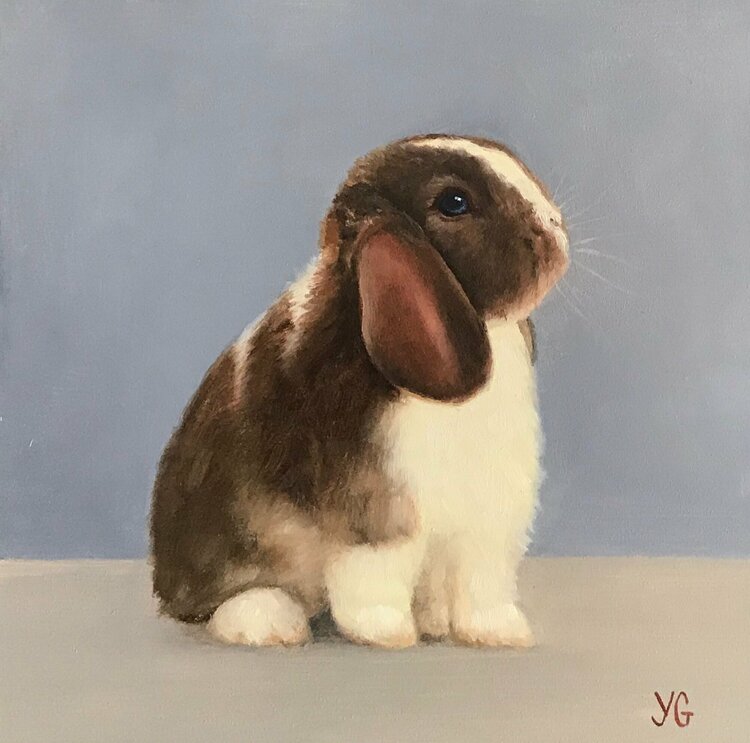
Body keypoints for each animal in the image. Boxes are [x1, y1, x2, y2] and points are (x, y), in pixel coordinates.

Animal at [150, 134, 569, 648]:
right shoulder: (377, 511)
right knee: (217, 603)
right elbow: (375, 574)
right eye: (454, 202)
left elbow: (481, 583)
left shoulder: (487, 518)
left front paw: (501, 633)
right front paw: (388, 633)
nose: (555, 227)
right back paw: (271, 624)